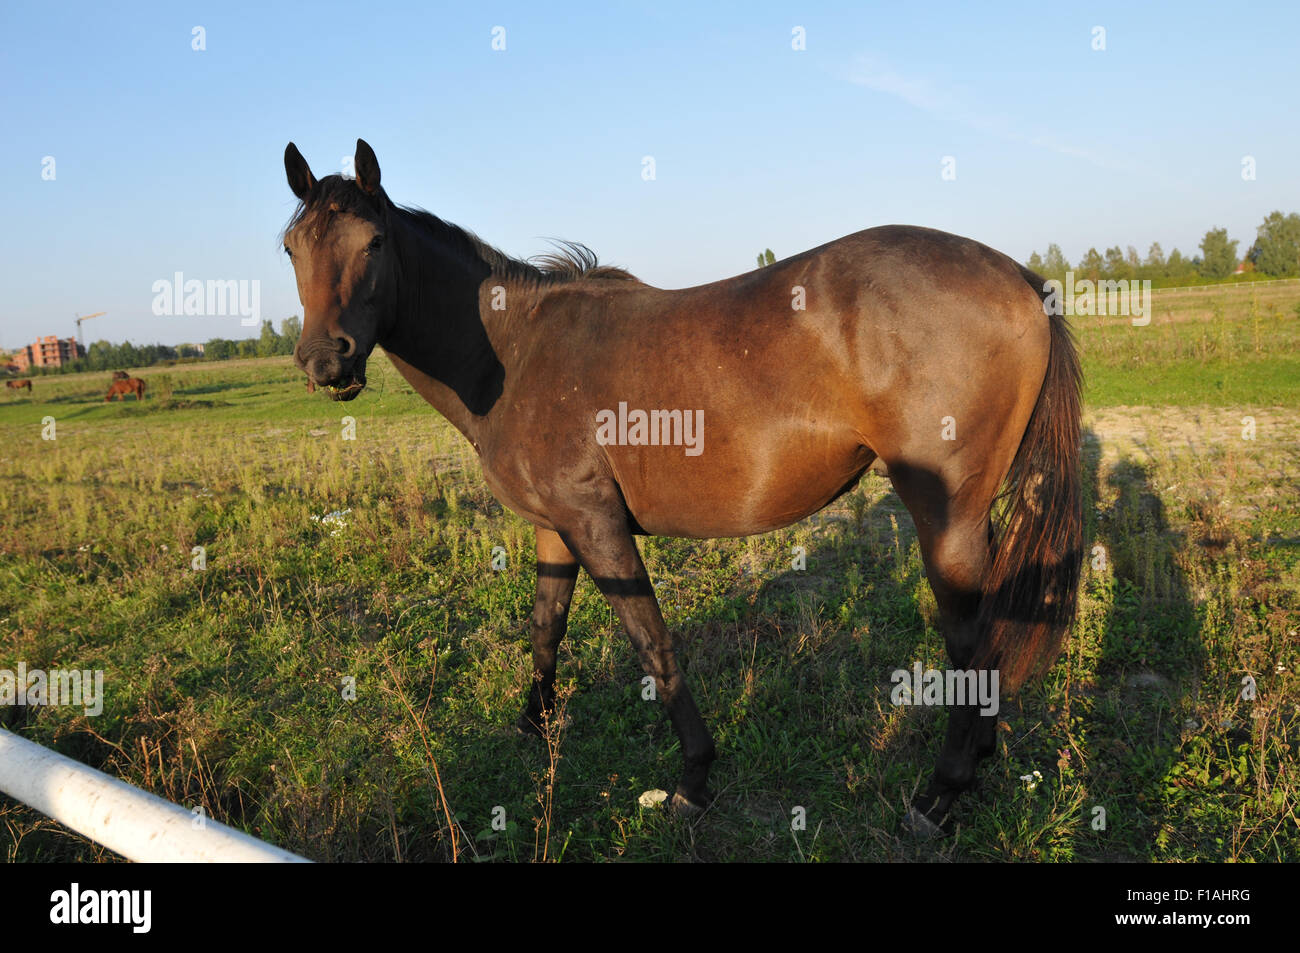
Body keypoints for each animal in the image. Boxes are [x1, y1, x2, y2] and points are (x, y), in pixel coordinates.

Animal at [281, 139, 1083, 832]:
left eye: (373, 243)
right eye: (292, 249)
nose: (325, 360)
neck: (515, 354)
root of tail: (1018, 275)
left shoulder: (596, 524)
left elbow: (653, 645)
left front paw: (694, 779)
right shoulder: (553, 527)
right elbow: (545, 628)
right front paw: (532, 728)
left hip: (944, 516)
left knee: (971, 643)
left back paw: (942, 794)